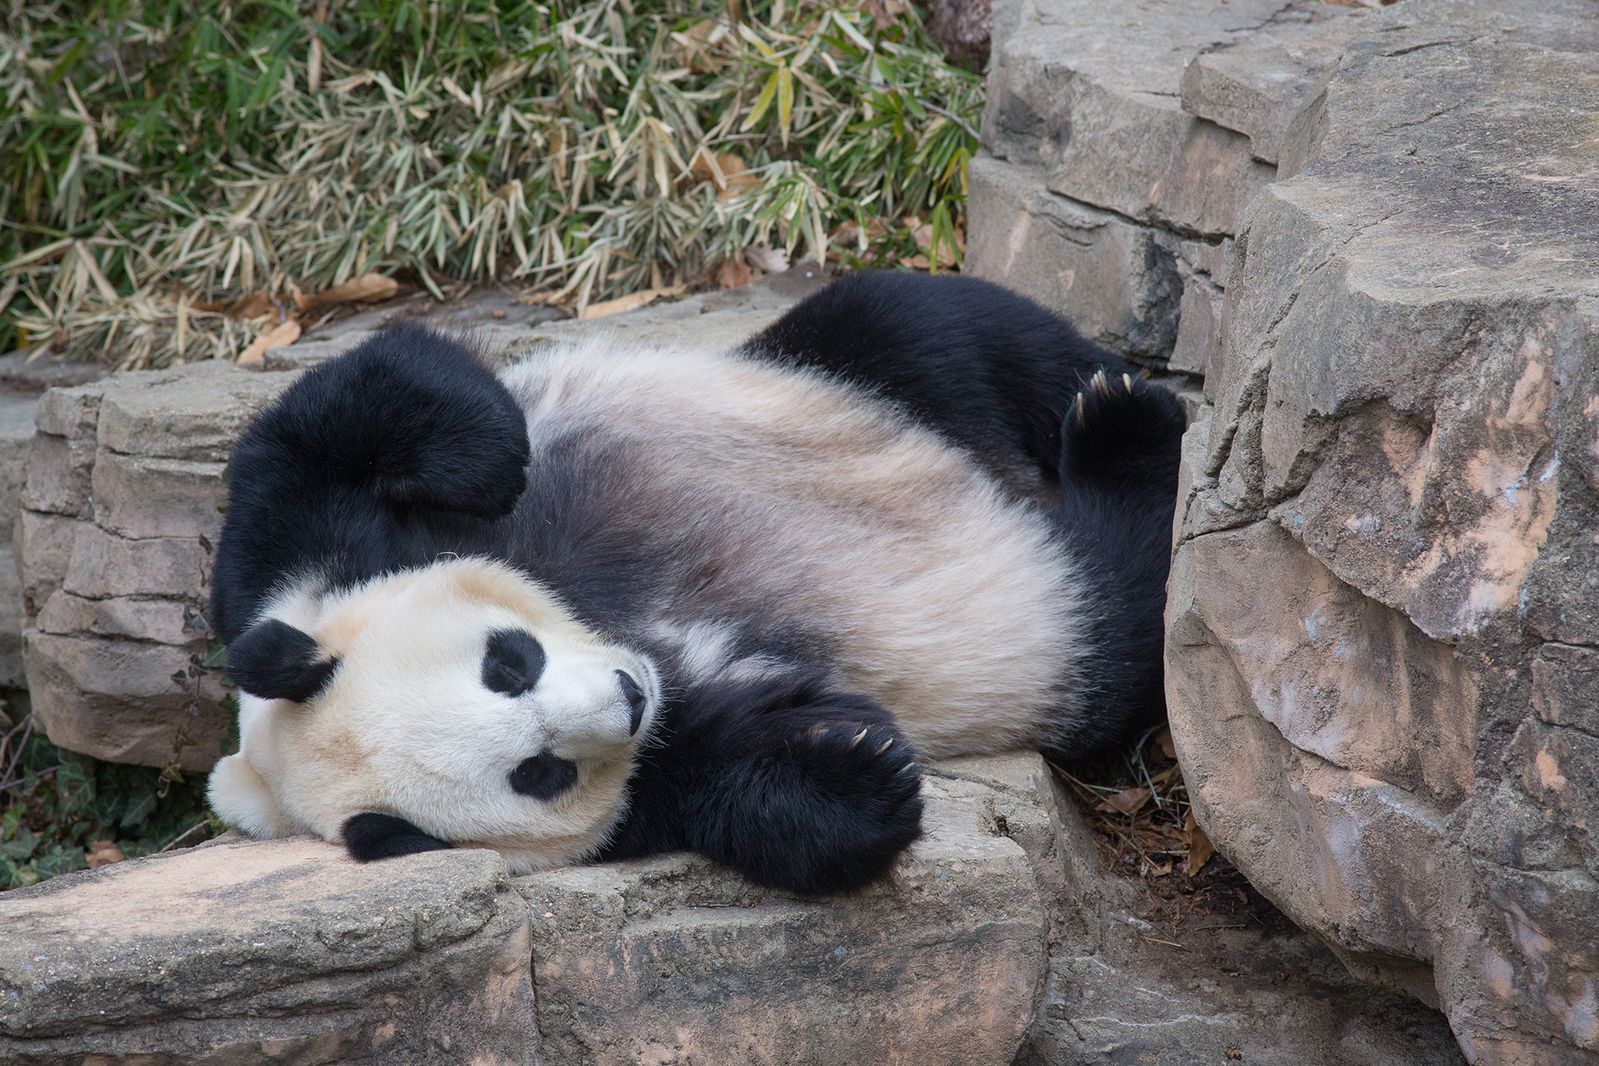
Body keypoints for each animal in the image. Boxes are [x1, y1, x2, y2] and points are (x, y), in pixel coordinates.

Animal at [205, 272, 1186, 895]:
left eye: (506, 664)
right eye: (538, 773)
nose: (628, 694)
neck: (623, 624)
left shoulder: (306, 562)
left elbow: (358, 400)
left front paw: (492, 455)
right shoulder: (649, 787)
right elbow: (754, 794)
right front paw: (859, 757)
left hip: (823, 372)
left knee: (926, 322)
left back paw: (1114, 400)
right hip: (1050, 633)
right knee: (1121, 614)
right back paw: (1126, 455)